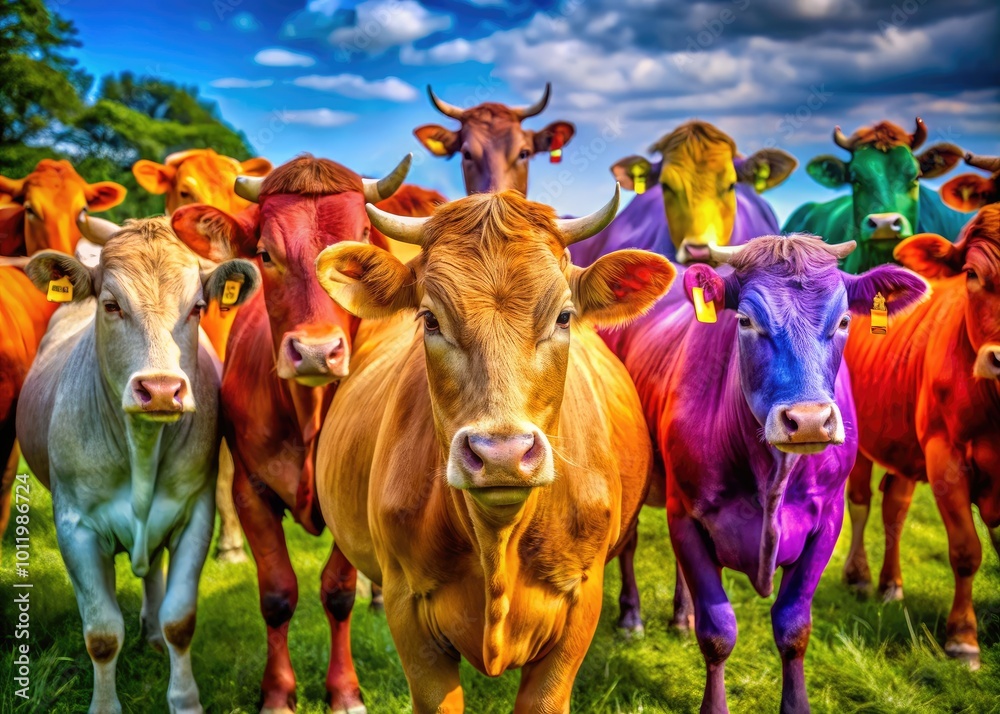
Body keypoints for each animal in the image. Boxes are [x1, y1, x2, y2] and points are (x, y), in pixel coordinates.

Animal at [15, 215, 259, 714]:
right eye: (111, 305)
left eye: (198, 308)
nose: (162, 389)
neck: (142, 448)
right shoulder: (75, 526)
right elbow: (102, 632)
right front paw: (105, 705)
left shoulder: (195, 514)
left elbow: (180, 620)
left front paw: (185, 700)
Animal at [169, 153, 416, 714]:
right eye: (265, 253)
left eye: (359, 250)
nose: (317, 352)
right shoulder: (251, 490)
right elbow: (278, 595)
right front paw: (279, 691)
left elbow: (338, 592)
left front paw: (344, 690)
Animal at [312, 186, 674, 712]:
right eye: (429, 318)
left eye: (564, 315)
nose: (501, 455)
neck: (496, 541)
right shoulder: (408, 611)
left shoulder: (579, 607)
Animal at [608, 234, 928, 712]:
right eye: (745, 320)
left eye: (844, 320)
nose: (809, 420)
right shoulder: (685, 512)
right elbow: (717, 630)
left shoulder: (827, 520)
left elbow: (793, 625)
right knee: (628, 545)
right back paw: (631, 617)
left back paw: (681, 616)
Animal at [842, 203, 1000, 670]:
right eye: (972, 274)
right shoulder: (944, 455)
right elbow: (967, 551)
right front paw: (963, 640)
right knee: (861, 502)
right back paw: (859, 577)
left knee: (895, 507)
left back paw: (890, 584)